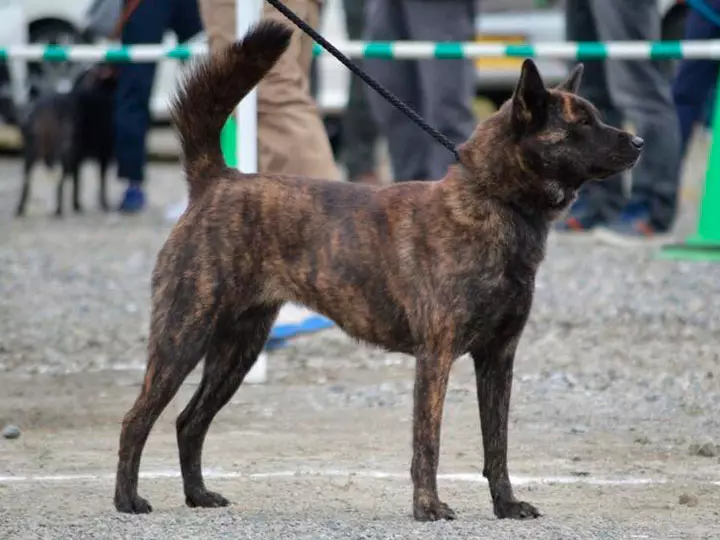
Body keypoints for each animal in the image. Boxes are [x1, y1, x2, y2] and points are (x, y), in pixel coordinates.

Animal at [15, 67, 118, 217]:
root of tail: (45, 110)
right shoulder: (103, 153)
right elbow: (101, 180)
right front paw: (104, 205)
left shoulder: (78, 158)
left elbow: (77, 180)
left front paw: (77, 206)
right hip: (63, 149)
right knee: (59, 179)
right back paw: (58, 210)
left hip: (33, 150)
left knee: (27, 178)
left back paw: (20, 209)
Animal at [115, 22, 644, 524]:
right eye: (581, 123)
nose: (638, 141)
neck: (494, 200)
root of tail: (217, 180)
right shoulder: (436, 357)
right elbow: (428, 442)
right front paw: (428, 507)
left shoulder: (498, 359)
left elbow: (497, 444)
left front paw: (506, 504)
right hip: (184, 337)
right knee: (136, 420)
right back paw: (127, 499)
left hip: (237, 350)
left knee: (189, 421)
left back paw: (197, 495)